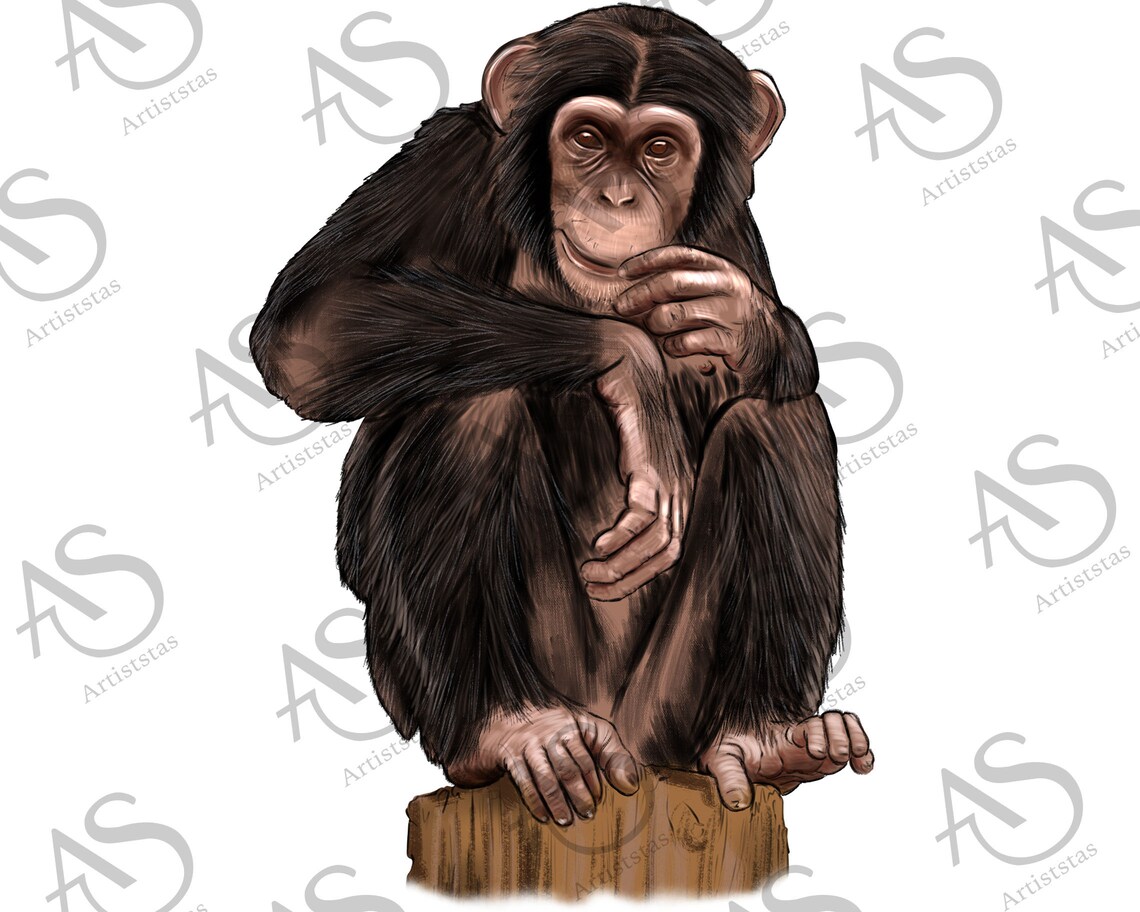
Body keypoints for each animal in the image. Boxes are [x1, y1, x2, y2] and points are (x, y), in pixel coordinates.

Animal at [251, 5, 873, 827]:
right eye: (585, 139)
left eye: (660, 149)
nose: (617, 199)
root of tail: (629, 754)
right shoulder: (452, 157)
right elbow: (311, 331)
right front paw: (631, 364)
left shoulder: (729, 228)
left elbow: (781, 367)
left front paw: (743, 323)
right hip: (521, 687)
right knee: (466, 403)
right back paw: (512, 728)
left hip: (669, 709)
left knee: (777, 419)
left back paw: (768, 737)